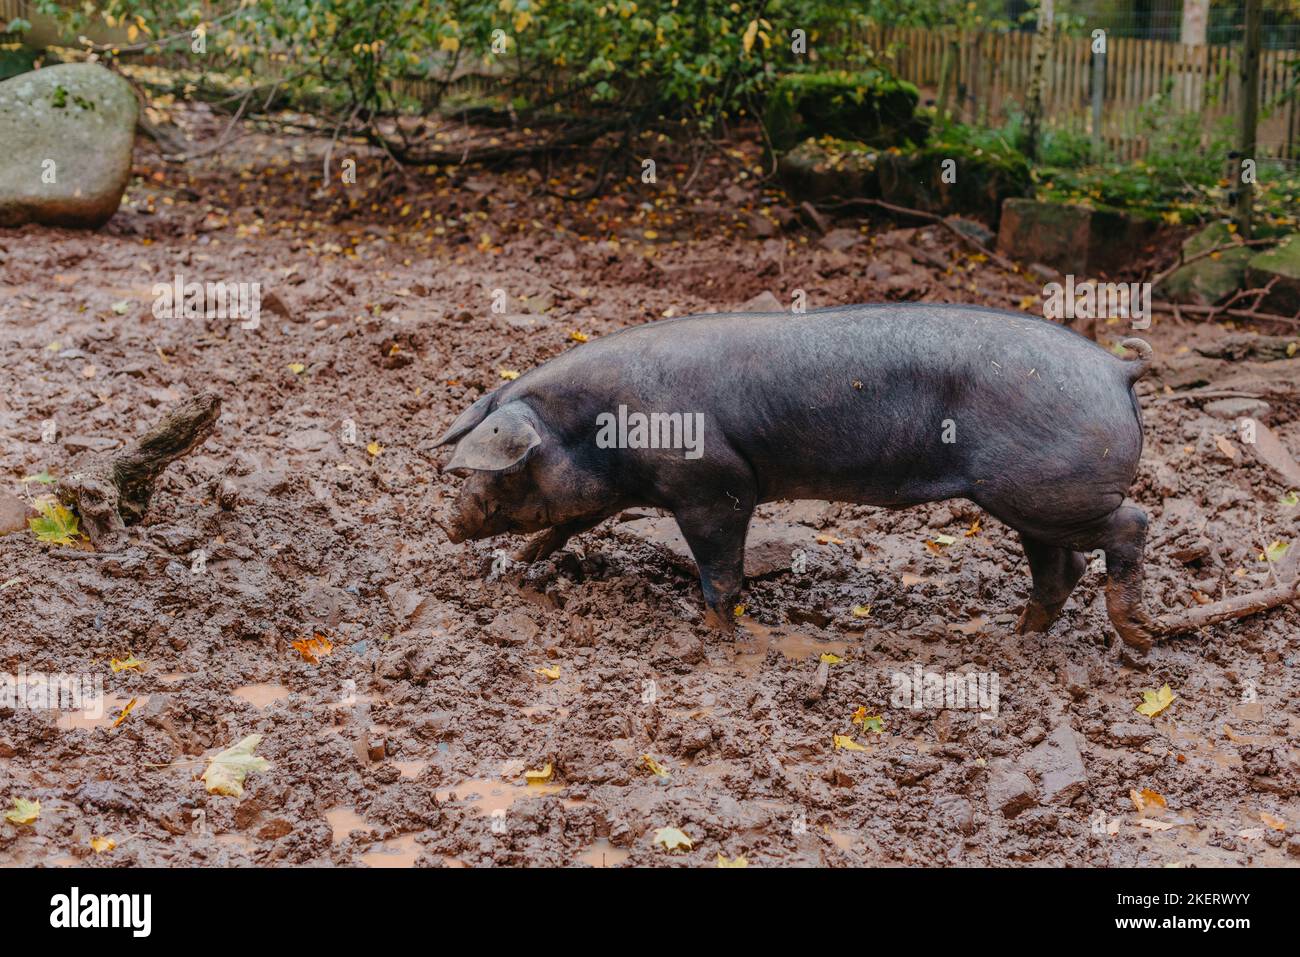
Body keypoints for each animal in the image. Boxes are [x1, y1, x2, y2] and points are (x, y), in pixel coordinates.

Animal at [436, 304, 1157, 650]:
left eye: (503, 470)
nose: (449, 523)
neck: (601, 429)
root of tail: (1117, 369)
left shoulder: (715, 487)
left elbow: (720, 569)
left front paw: (723, 638)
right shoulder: (613, 491)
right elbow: (571, 522)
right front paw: (522, 564)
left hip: (1045, 487)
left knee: (1133, 522)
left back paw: (1139, 639)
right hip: (1033, 499)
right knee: (1062, 568)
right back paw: (1017, 640)